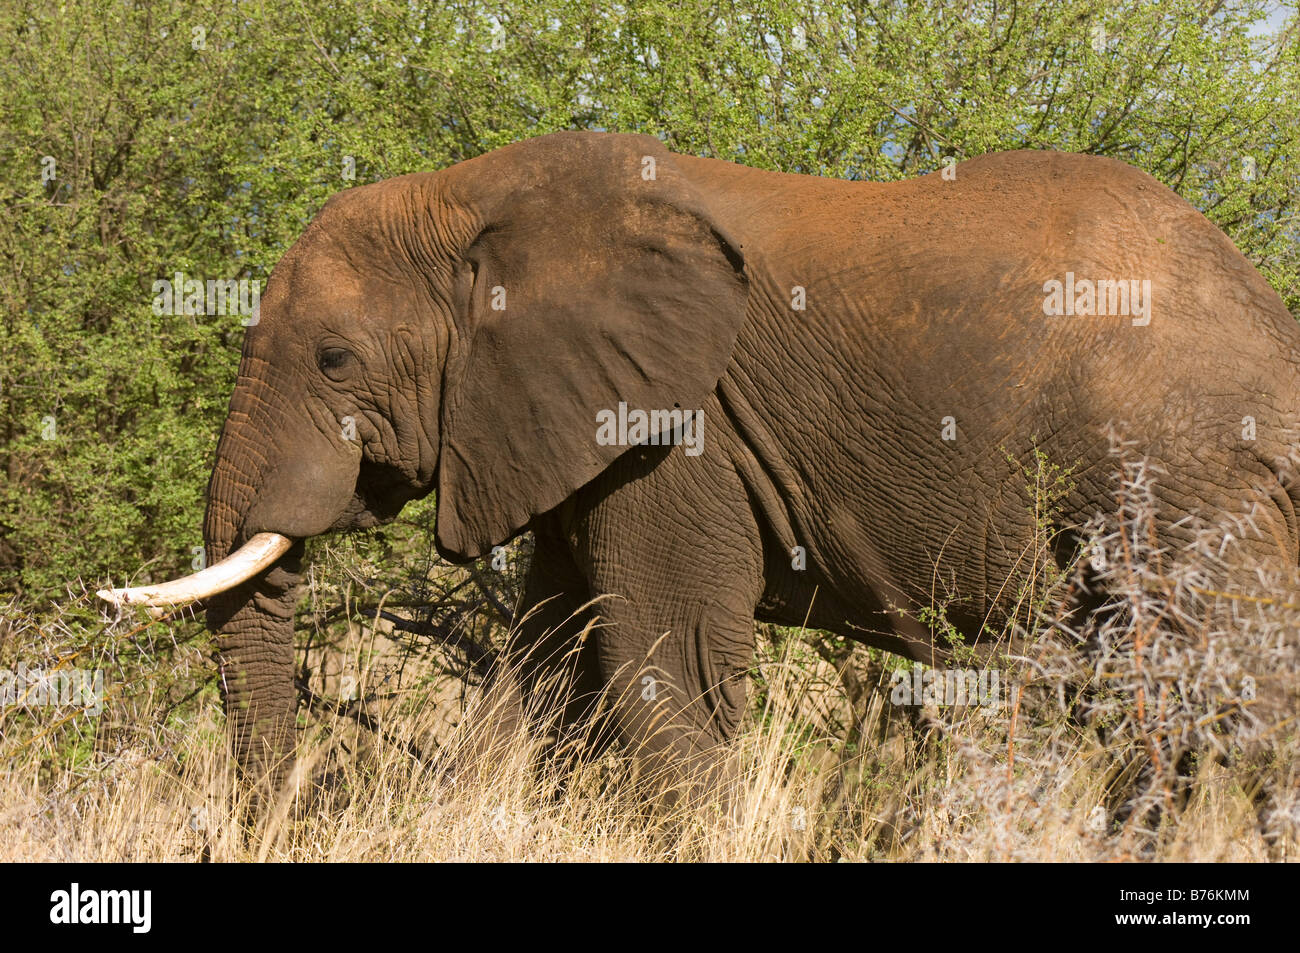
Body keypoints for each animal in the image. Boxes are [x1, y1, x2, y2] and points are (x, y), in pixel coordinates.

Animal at [101, 131, 1300, 796]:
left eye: (335, 357)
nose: (289, 806)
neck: (471, 195)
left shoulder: (678, 435)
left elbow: (662, 660)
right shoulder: (575, 429)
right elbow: (548, 662)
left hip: (1182, 474)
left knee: (1217, 692)